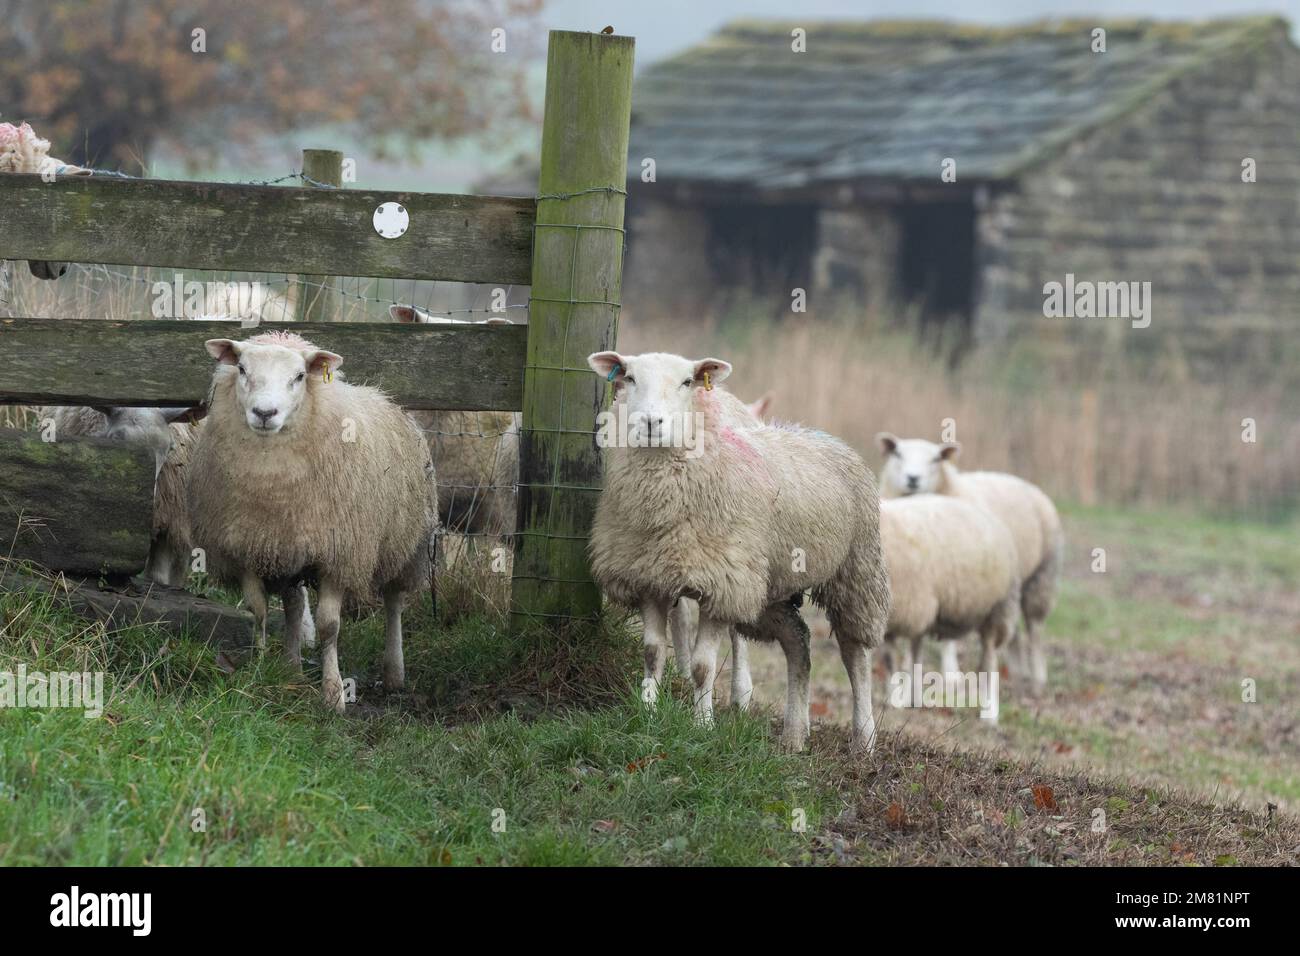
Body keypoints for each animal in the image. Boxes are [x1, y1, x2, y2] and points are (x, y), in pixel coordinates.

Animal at [186, 330, 437, 711]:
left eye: (300, 376)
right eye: (242, 369)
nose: (264, 413)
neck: (272, 484)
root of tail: (388, 399)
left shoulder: (338, 553)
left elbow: (329, 626)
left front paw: (333, 694)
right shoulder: (247, 548)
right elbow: (259, 611)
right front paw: (258, 671)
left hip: (407, 541)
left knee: (395, 602)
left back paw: (394, 673)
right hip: (289, 547)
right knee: (294, 604)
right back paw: (291, 669)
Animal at [587, 351, 890, 752]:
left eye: (687, 382)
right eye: (630, 378)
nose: (651, 422)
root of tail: (823, 435)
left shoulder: (723, 584)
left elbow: (702, 666)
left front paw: (702, 725)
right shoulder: (649, 577)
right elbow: (652, 652)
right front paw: (647, 712)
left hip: (857, 568)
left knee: (856, 653)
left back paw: (864, 737)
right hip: (770, 585)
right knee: (799, 642)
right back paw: (794, 735)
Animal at [876, 434, 1063, 694]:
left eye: (936, 459)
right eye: (898, 454)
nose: (913, 478)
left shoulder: (954, 584)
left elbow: (945, 639)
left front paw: (950, 675)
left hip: (1039, 575)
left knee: (1034, 627)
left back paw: (1037, 678)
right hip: (1004, 589)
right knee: (1013, 633)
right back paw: (1017, 672)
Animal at [876, 494, 1020, 722]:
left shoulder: (898, 610)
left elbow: (890, 660)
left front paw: (893, 702)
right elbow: (893, 658)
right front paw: (896, 699)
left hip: (997, 609)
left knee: (989, 662)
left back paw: (989, 715)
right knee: (917, 649)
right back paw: (915, 699)